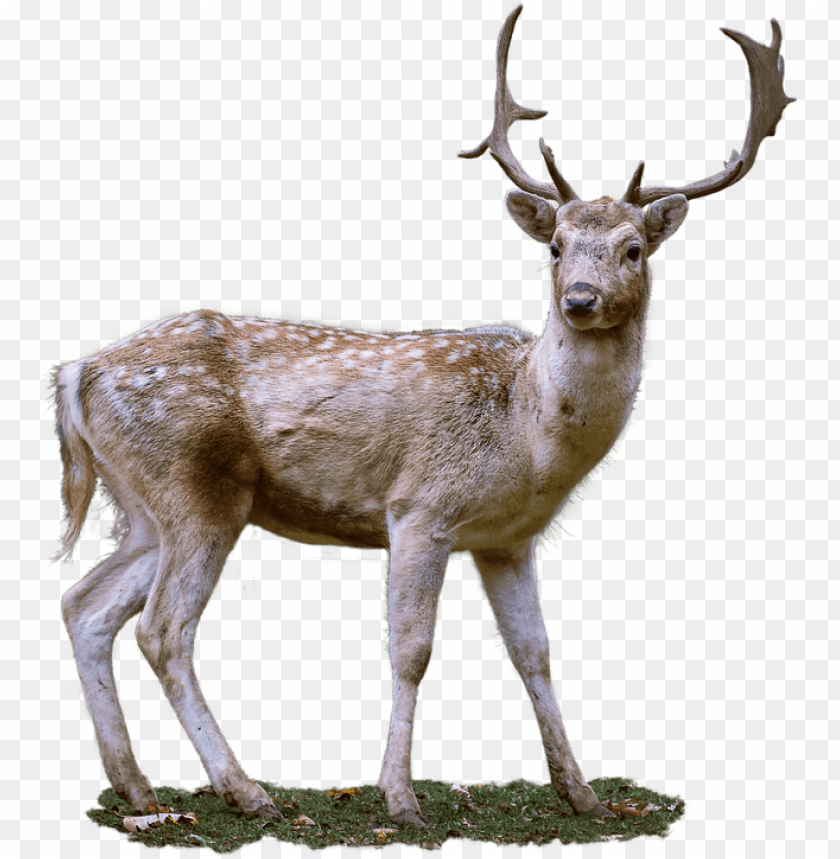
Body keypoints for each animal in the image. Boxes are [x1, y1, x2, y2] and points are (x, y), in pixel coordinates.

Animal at [53, 5, 794, 827]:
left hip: (143, 505)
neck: (529, 435)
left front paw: (584, 795)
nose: (579, 298)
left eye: (634, 249)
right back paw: (245, 791)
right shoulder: (419, 507)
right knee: (162, 630)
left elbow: (535, 652)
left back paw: (136, 786)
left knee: (85, 606)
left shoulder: (508, 538)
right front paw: (400, 797)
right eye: (557, 246)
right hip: (196, 489)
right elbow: (411, 651)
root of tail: (76, 371)